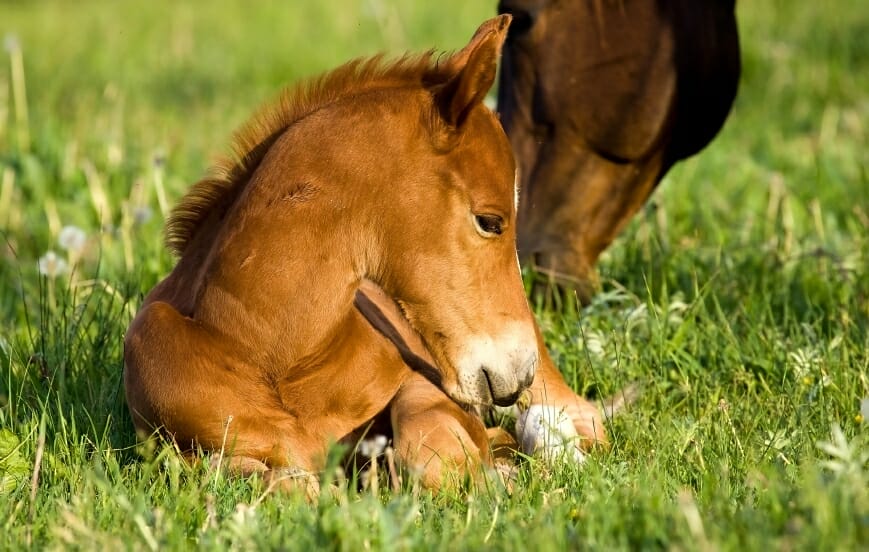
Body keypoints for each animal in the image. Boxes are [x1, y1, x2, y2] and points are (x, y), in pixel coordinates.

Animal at [124, 15, 547, 494]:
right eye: (490, 221)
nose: (521, 371)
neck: (278, 355)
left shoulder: (428, 389)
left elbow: (425, 445)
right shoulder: (176, 450)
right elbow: (272, 477)